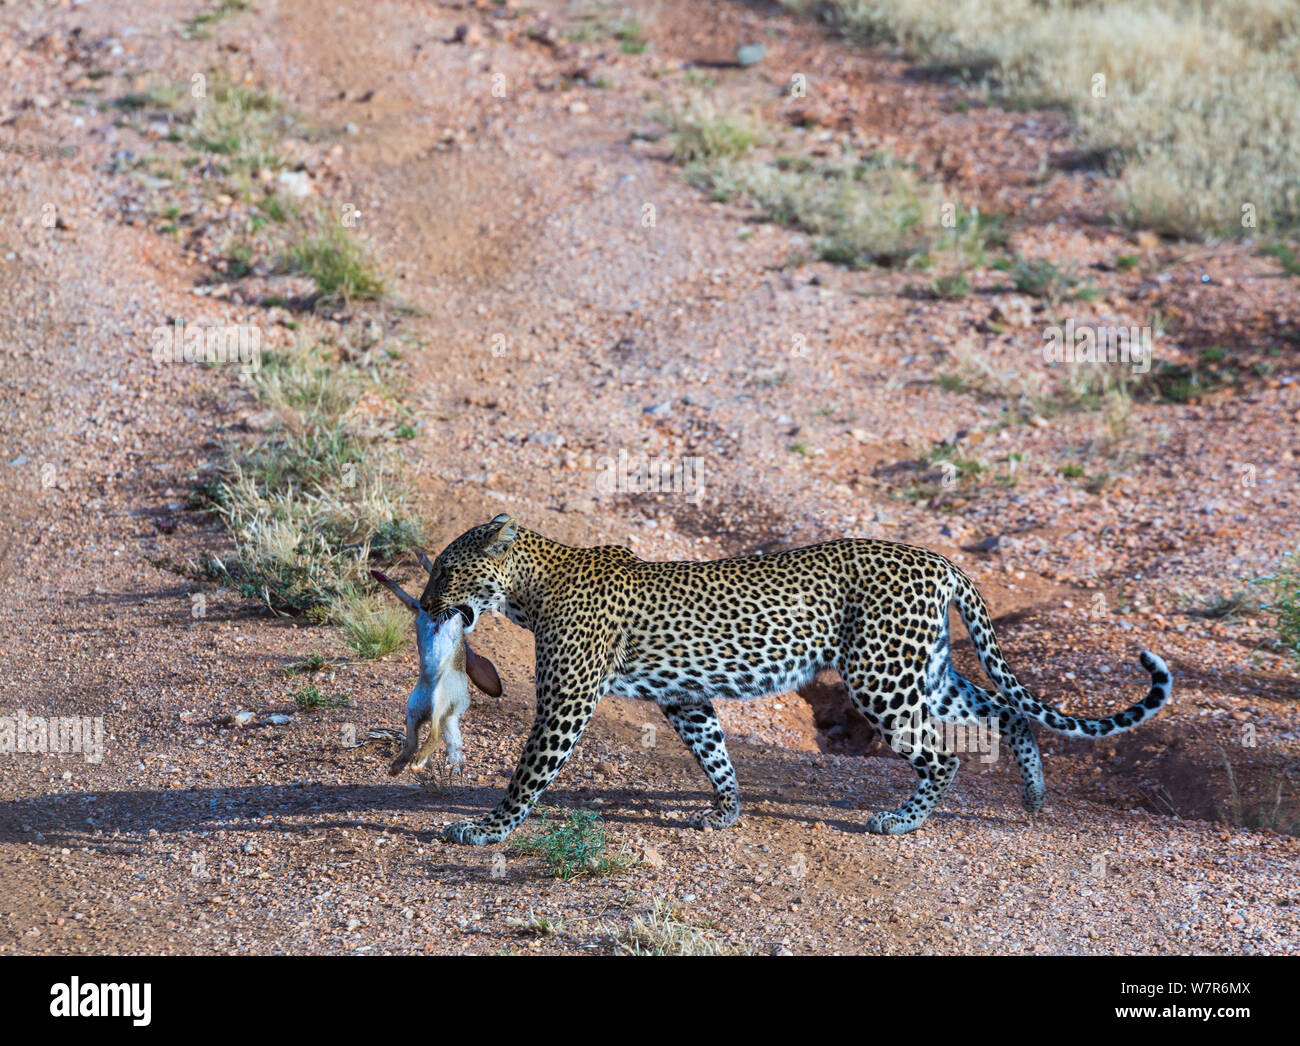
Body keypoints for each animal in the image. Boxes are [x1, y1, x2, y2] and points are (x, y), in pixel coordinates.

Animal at [416, 513, 1171, 845]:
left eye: (445, 570)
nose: (423, 606)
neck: (531, 586)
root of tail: (938, 559)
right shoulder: (685, 697)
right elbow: (714, 753)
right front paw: (726, 811)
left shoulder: (567, 700)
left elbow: (529, 773)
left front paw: (485, 829)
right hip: (920, 668)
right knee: (1005, 711)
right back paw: (1034, 794)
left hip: (881, 677)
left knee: (944, 754)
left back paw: (901, 821)